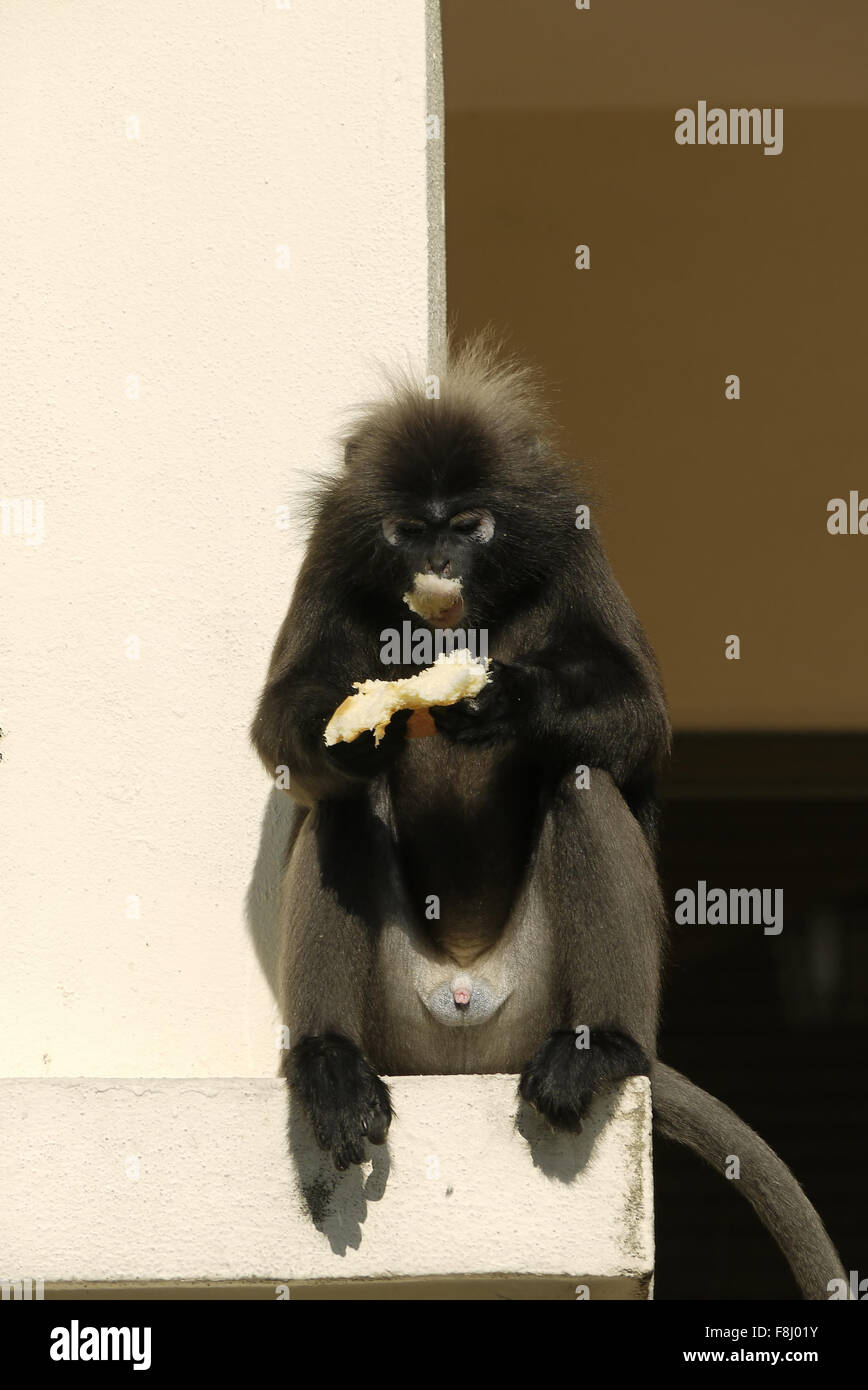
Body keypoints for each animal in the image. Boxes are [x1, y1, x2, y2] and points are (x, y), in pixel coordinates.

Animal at [250, 338, 845, 1300]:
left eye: (471, 526)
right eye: (410, 531)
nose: (442, 570)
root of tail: (465, 999)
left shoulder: (575, 546)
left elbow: (639, 719)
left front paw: (507, 701)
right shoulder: (328, 556)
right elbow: (281, 726)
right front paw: (362, 733)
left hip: (534, 1004)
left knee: (581, 774)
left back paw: (602, 1049)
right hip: (401, 1025)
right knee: (342, 806)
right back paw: (329, 1065)